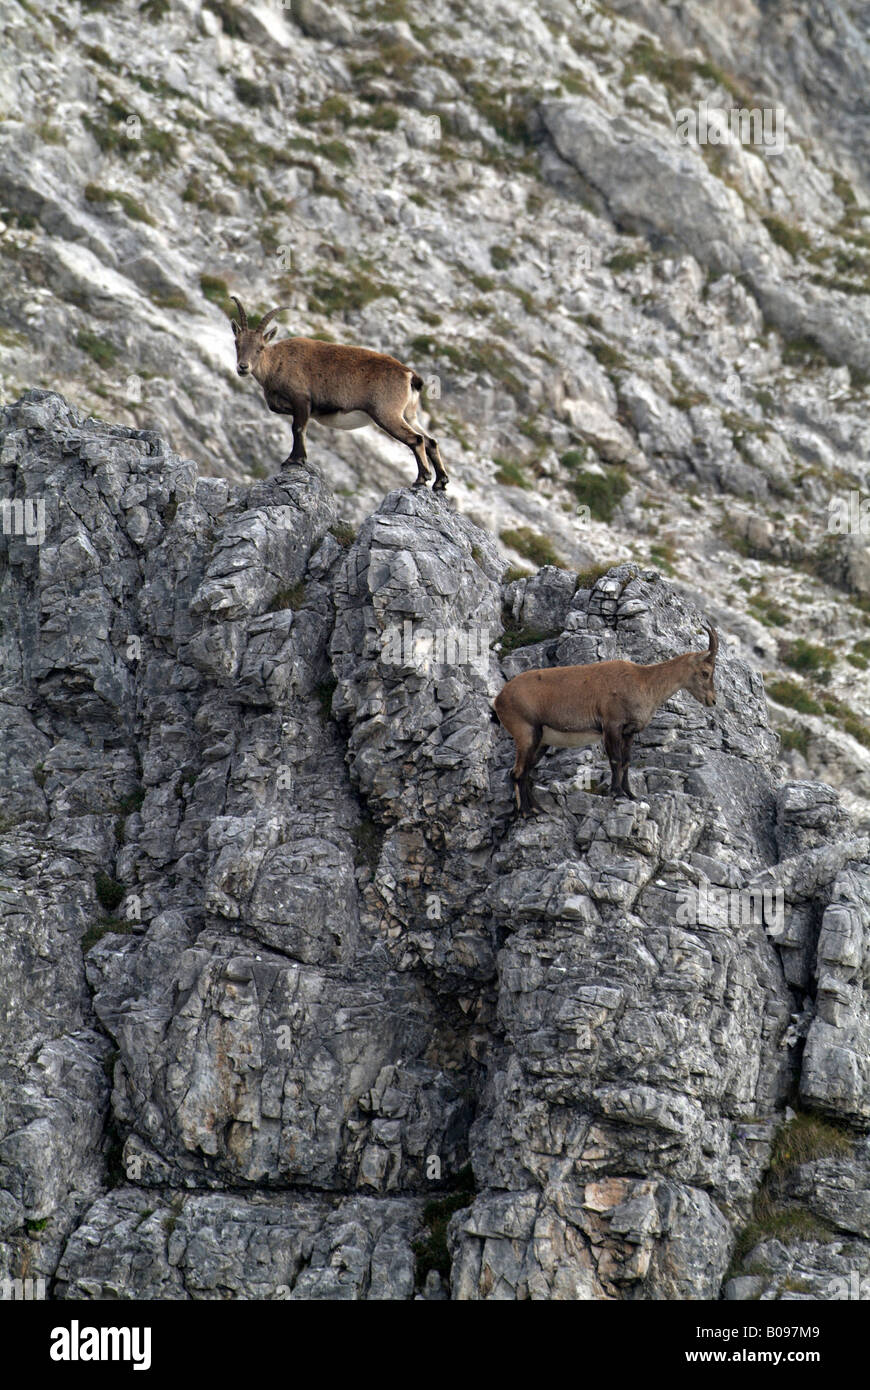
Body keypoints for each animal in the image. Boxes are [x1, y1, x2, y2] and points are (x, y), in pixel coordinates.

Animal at [230, 297, 448, 489]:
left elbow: (298, 428)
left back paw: (421, 479)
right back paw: (440, 482)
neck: (278, 362)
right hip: (409, 414)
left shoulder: (302, 399)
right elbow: (301, 428)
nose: (243, 367)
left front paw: (294, 460)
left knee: (417, 439)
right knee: (431, 441)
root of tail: (409, 375)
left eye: (260, 348)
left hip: (387, 414)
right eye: (237, 343)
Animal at [493, 626, 718, 815]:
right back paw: (526, 812)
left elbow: (626, 761)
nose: (712, 700)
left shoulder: (629, 731)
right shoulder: (611, 725)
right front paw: (616, 793)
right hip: (526, 733)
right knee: (517, 772)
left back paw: (538, 808)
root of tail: (499, 698)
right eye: (705, 672)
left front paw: (630, 794)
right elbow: (615, 759)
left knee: (526, 772)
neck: (643, 681)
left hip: (542, 740)